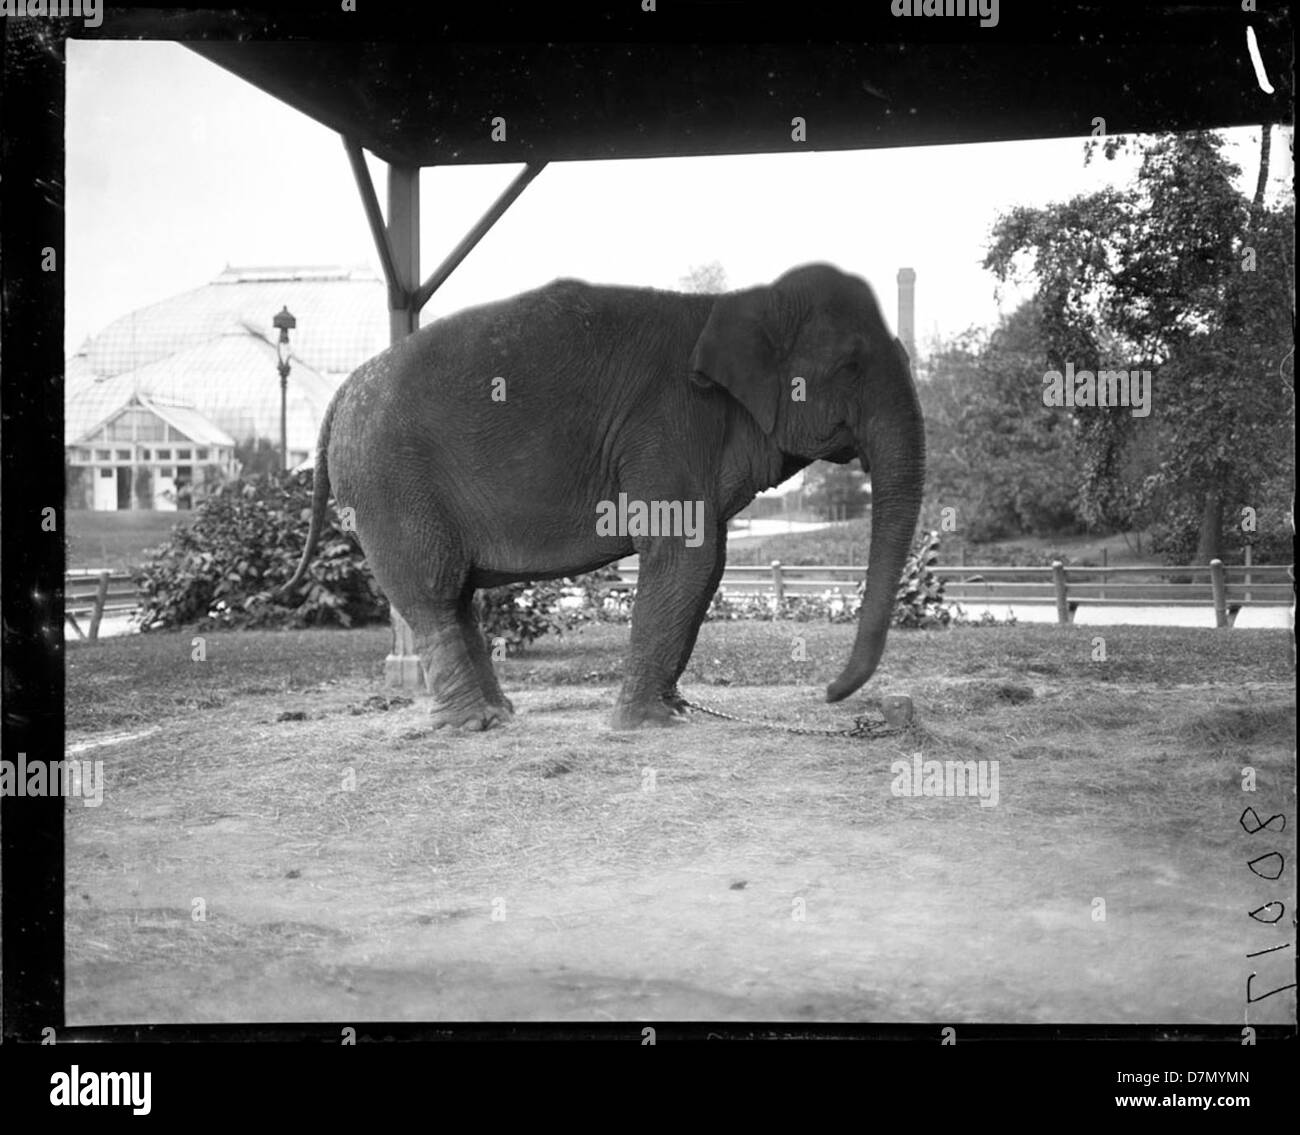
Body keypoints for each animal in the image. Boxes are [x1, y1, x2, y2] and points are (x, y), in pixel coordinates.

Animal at [284, 263, 926, 731]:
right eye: (851, 363)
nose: (831, 696)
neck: (734, 303)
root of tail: (339, 394)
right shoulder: (667, 422)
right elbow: (684, 555)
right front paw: (648, 723)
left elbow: (708, 561)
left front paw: (671, 710)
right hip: (389, 483)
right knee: (433, 591)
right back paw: (474, 725)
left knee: (457, 596)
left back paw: (498, 716)